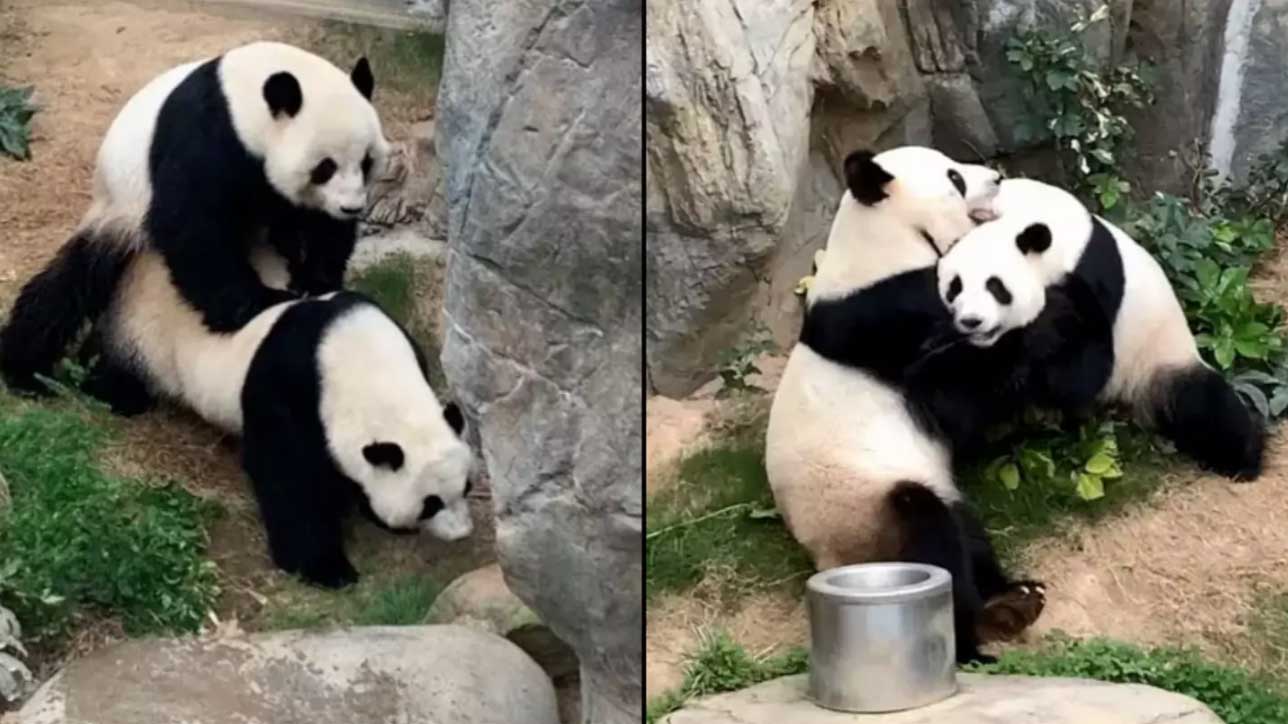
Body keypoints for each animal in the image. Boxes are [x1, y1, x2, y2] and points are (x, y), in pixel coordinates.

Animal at [0, 41, 389, 394]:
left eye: (367, 161)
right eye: (325, 167)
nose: (351, 208)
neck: (243, 99)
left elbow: (319, 226)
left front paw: (317, 280)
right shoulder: (206, 136)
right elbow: (192, 227)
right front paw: (259, 302)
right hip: (118, 211)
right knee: (68, 286)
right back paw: (26, 369)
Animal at [89, 244, 472, 589]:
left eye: (466, 487)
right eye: (430, 504)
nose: (462, 533)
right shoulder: (289, 385)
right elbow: (286, 474)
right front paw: (327, 568)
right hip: (144, 333)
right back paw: (116, 394)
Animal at [766, 147, 1046, 664]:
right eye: (955, 178)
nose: (997, 177)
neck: (883, 241)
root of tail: (826, 559)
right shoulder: (888, 318)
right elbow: (952, 393)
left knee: (966, 532)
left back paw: (1013, 600)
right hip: (865, 509)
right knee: (929, 533)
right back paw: (974, 632)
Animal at [935, 178, 1267, 480]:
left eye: (996, 287)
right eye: (955, 287)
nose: (971, 321)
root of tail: (1125, 402)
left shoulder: (1090, 277)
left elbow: (1083, 369)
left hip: (1158, 359)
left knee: (1205, 405)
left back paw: (1243, 461)